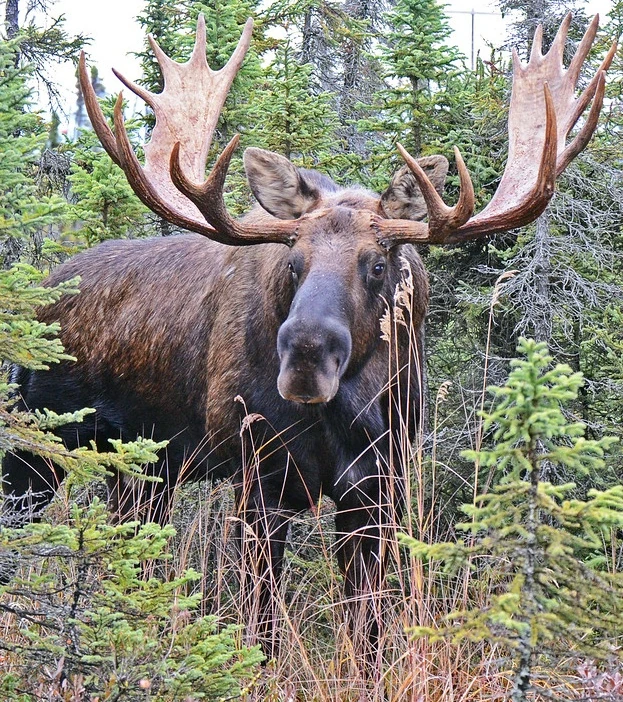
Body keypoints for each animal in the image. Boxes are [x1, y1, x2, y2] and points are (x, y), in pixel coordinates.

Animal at [2, 12, 615, 663]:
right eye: (293, 260)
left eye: (379, 263)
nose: (303, 357)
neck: (344, 413)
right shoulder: (260, 477)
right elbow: (262, 624)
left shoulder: (377, 487)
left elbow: (367, 625)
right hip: (34, 448)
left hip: (141, 471)